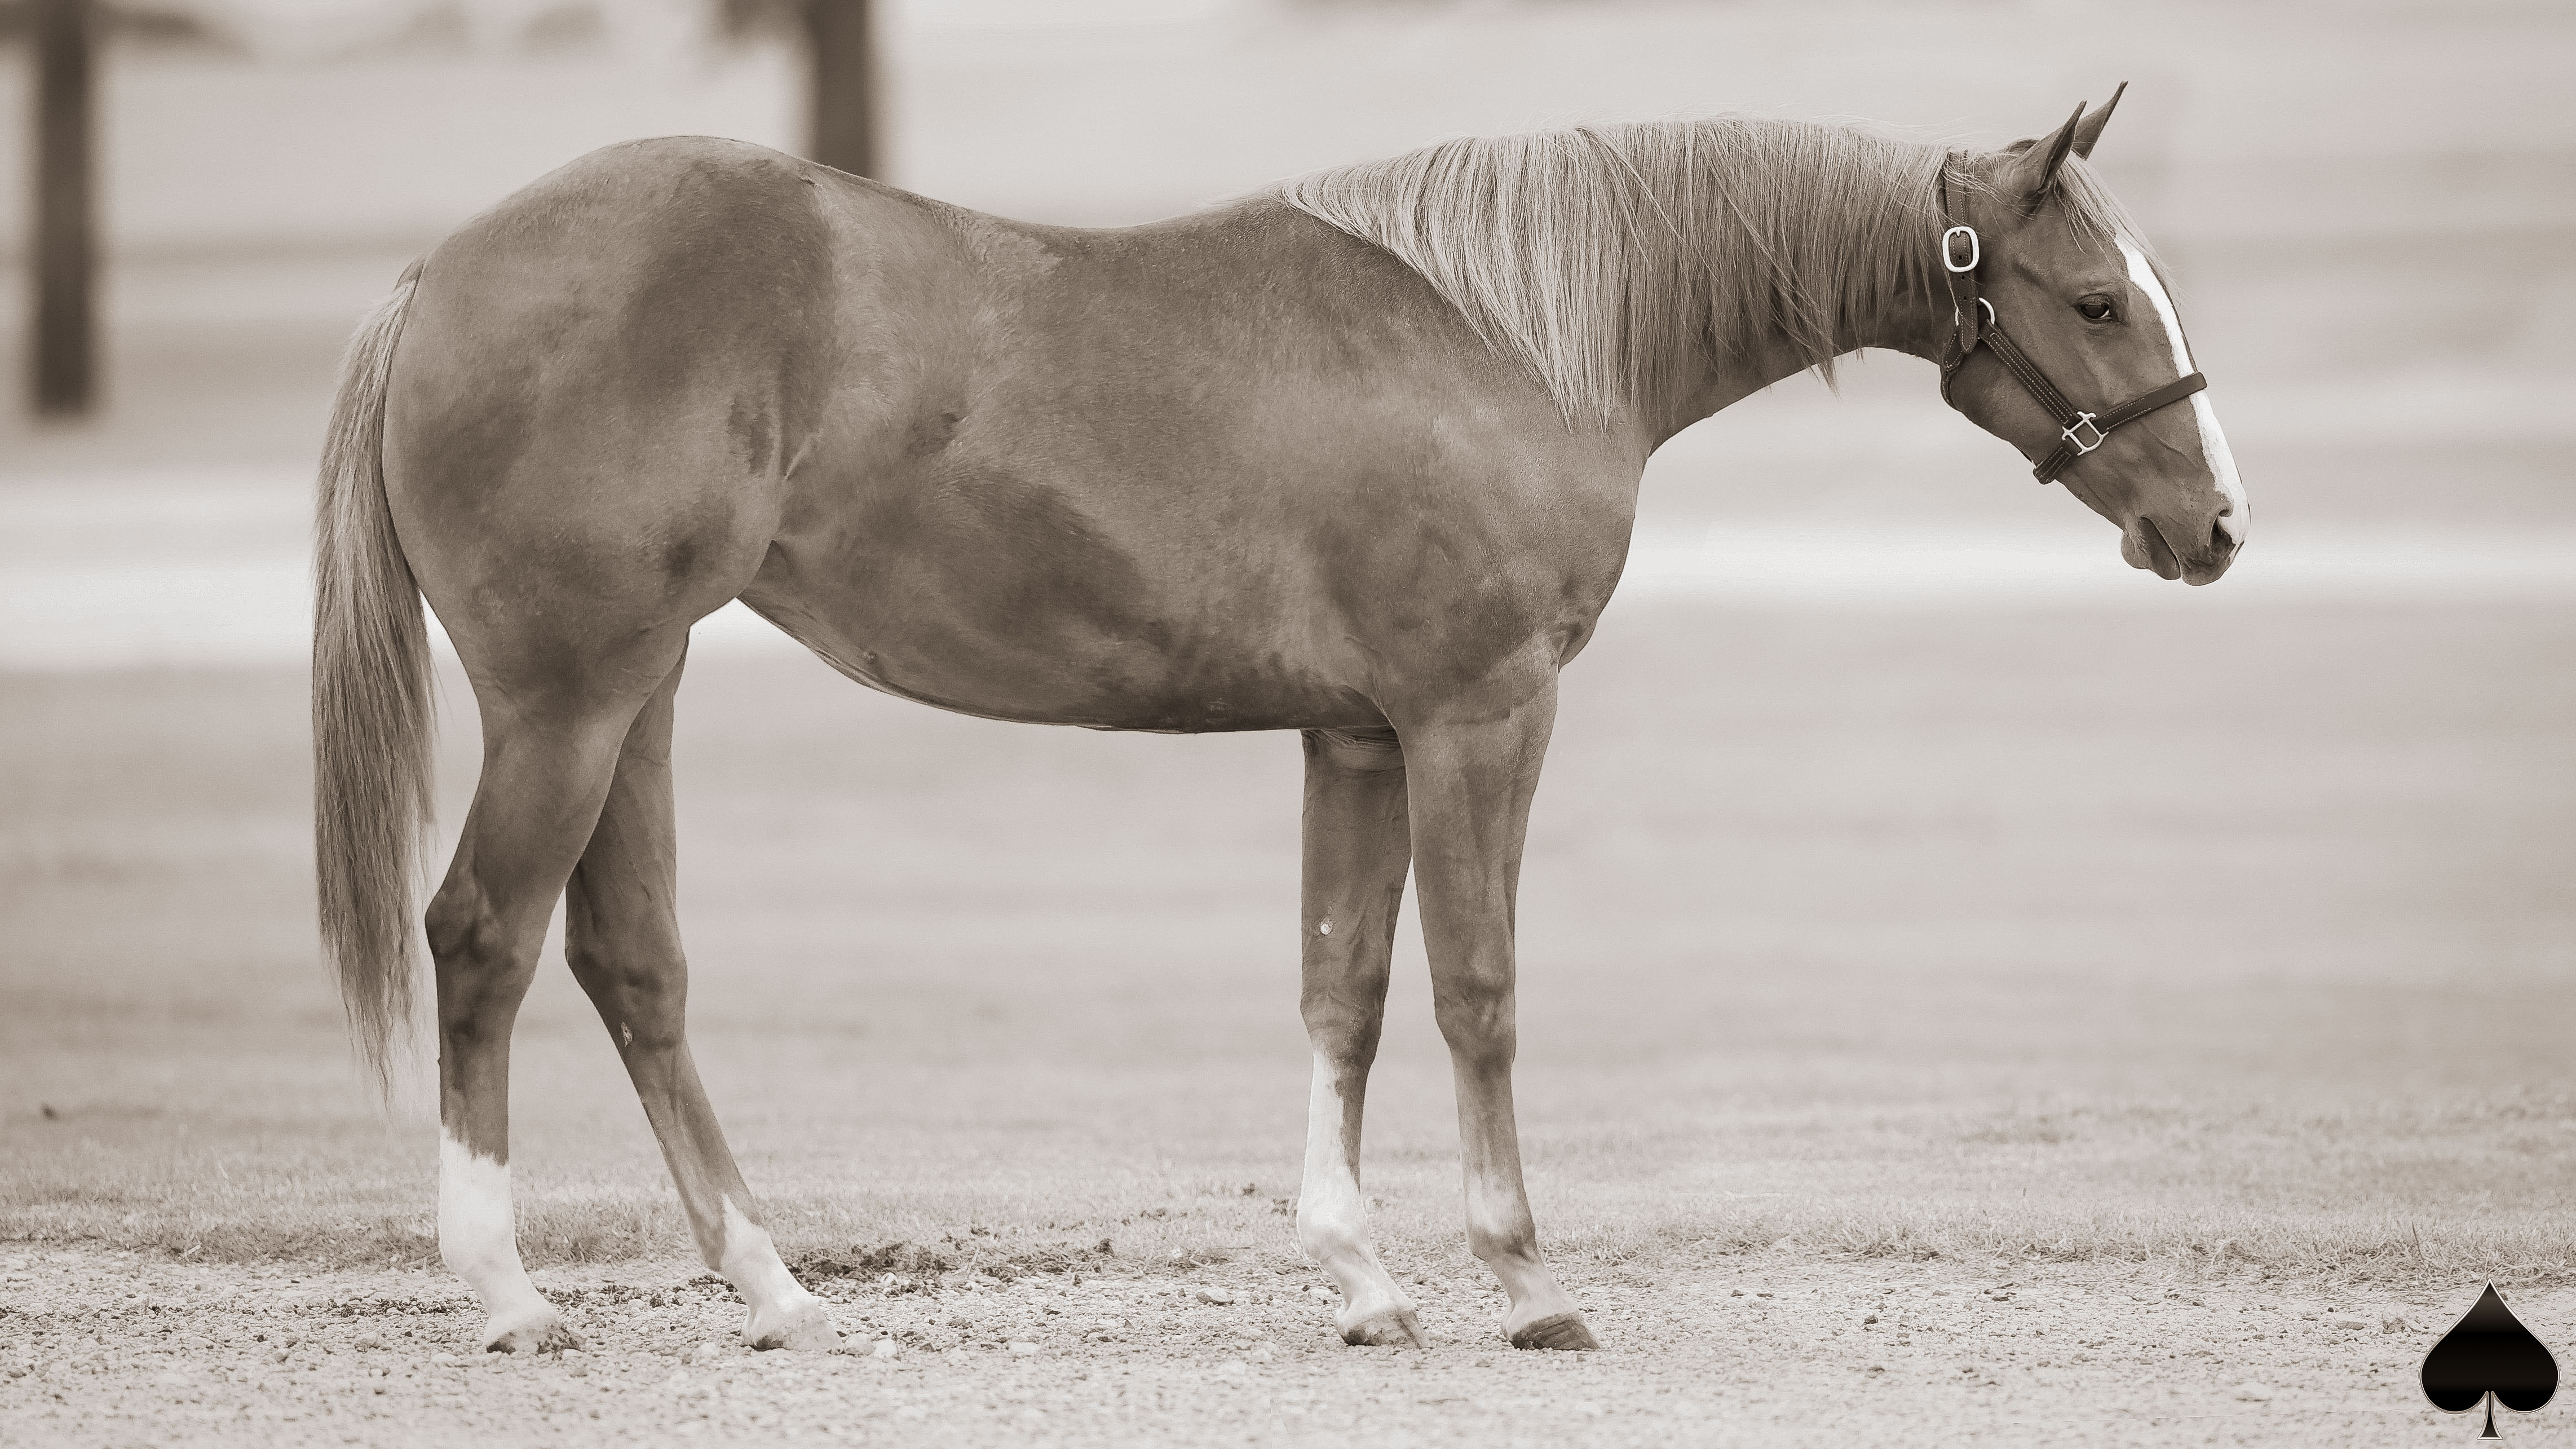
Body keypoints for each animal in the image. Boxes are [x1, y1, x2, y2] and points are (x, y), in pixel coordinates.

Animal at [310, 89, 2245, 1357]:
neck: (1507, 336)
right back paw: (506, 1293)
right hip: (567, 699)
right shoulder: (1479, 713)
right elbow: (1477, 989)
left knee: (630, 963)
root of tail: (439, 276)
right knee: (480, 939)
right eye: (2092, 298)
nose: (2214, 524)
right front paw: (1522, 1278)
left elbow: (1346, 988)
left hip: (639, 693)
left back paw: (773, 1285)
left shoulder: (1358, 737)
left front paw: (1365, 1280)